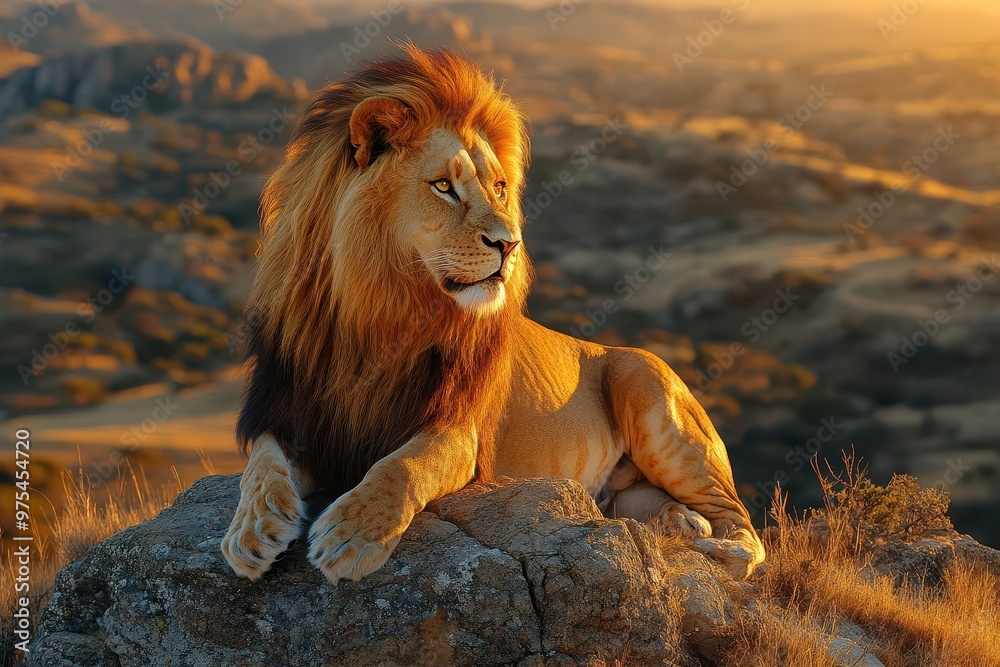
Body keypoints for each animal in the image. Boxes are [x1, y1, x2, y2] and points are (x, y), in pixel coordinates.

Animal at [221, 45, 765, 584]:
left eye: (500, 188)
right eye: (444, 186)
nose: (511, 244)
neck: (381, 310)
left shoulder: (457, 427)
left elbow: (402, 467)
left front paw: (351, 534)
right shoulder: (293, 414)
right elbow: (261, 466)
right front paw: (251, 529)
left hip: (659, 408)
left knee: (744, 530)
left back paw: (709, 546)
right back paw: (676, 523)